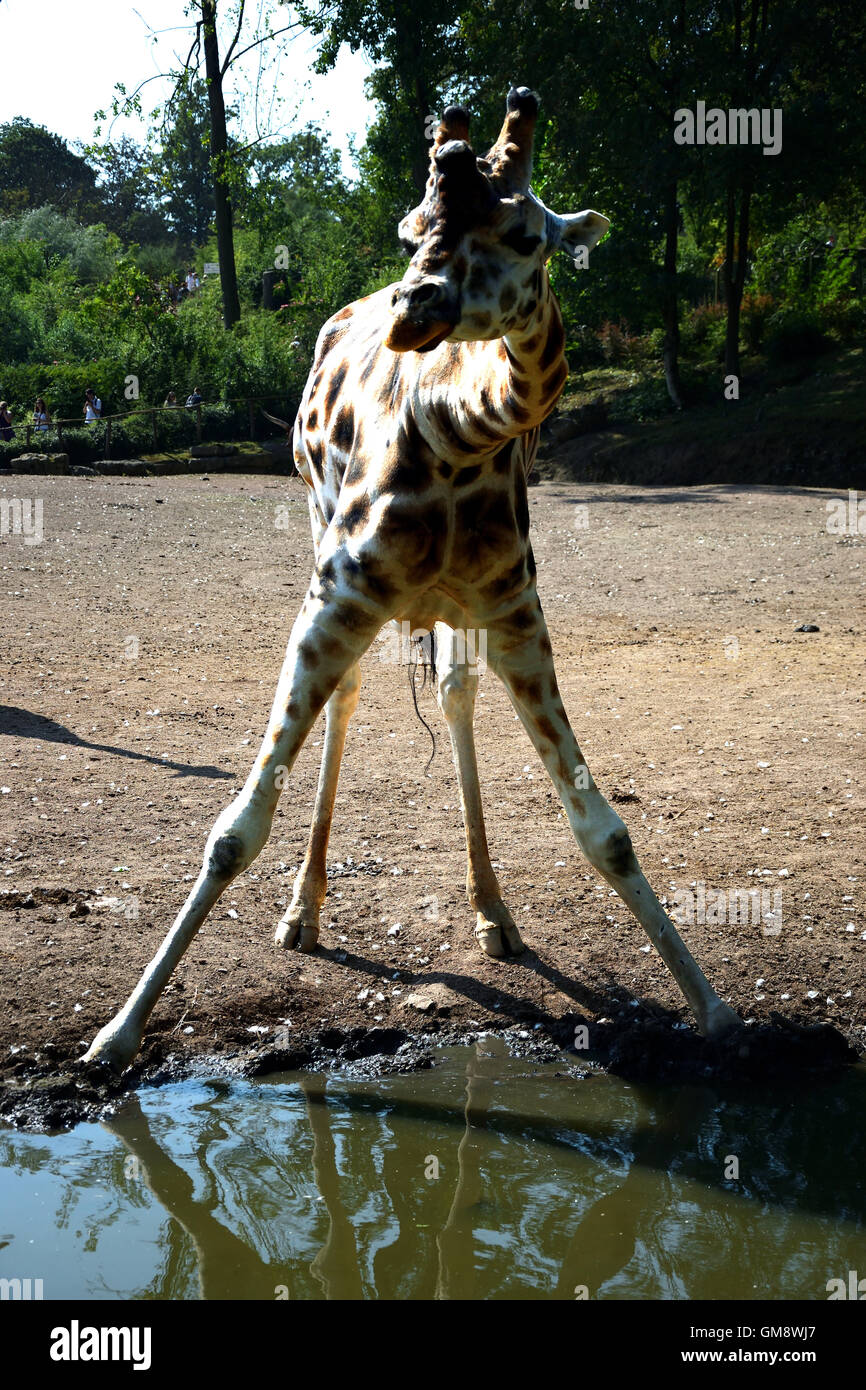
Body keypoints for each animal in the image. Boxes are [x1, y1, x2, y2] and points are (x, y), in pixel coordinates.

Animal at [83, 86, 740, 1073]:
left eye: (526, 236)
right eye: (416, 230)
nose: (411, 308)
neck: (456, 435)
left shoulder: (516, 609)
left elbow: (605, 830)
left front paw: (715, 1011)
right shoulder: (336, 595)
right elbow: (233, 828)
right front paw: (117, 1034)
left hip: (453, 610)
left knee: (456, 693)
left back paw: (493, 913)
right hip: (321, 545)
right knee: (349, 699)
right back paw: (303, 915)